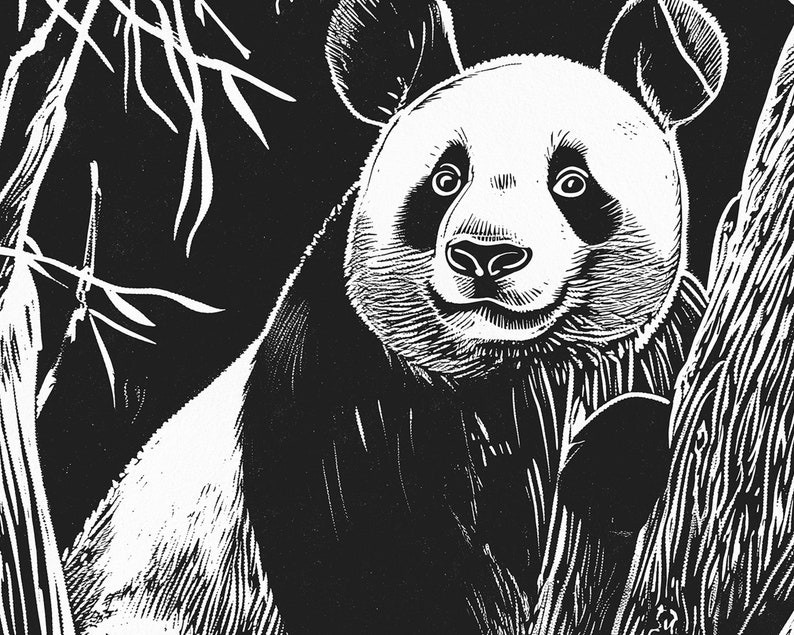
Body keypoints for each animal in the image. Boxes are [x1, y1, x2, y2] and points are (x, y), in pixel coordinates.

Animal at [63, 0, 727, 634]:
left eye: (571, 182)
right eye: (446, 178)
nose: (485, 254)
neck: (514, 362)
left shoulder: (659, 348)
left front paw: (612, 455)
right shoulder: (349, 383)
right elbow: (374, 568)